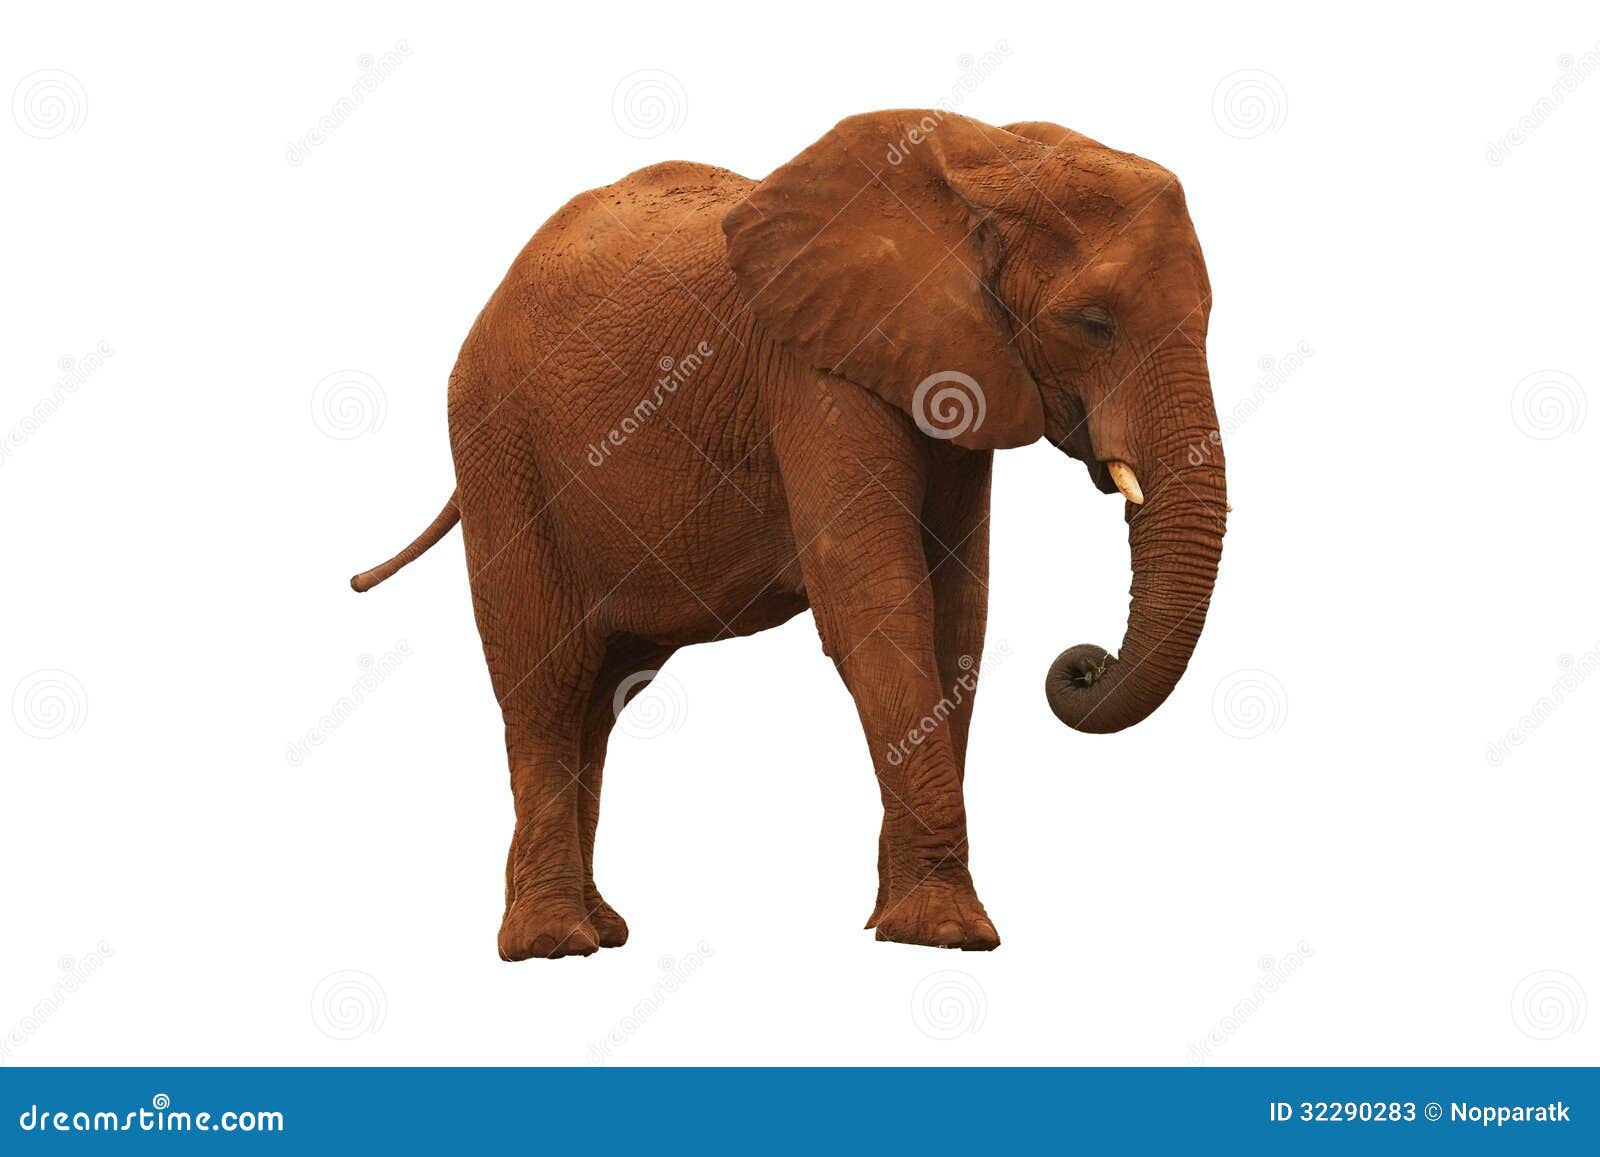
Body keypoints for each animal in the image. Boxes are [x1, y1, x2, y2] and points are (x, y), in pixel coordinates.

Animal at [351, 110, 1228, 959]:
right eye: (1093, 323)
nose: (1084, 663)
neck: (989, 159)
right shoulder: (815, 371)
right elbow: (876, 606)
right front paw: (949, 933)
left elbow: (957, 616)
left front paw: (893, 920)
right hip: (502, 449)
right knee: (546, 680)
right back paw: (553, 945)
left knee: (600, 695)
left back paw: (604, 929)